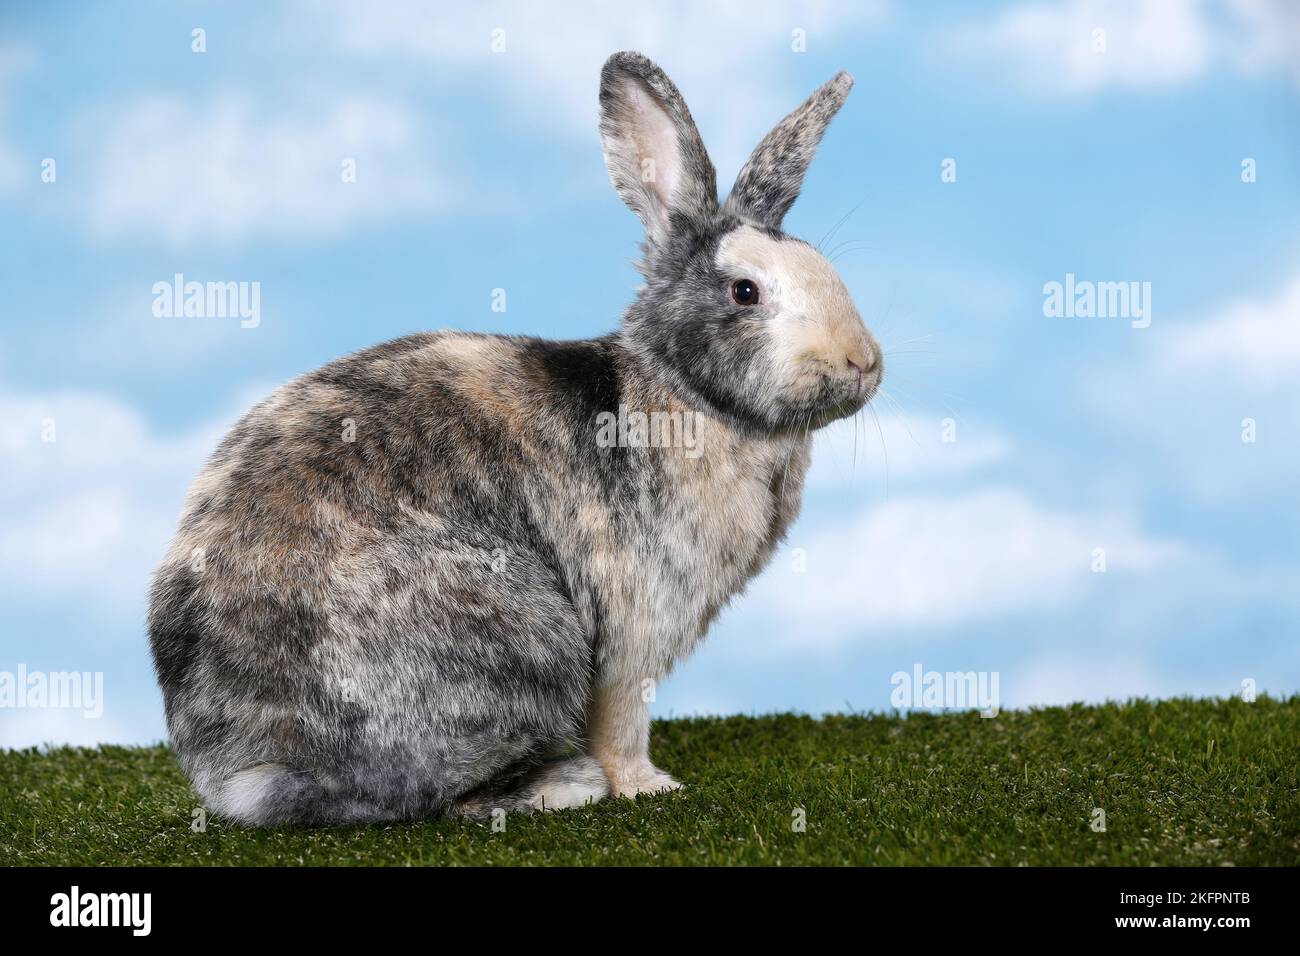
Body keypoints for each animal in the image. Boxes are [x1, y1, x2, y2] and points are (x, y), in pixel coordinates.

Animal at [148, 51, 882, 826]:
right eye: (745, 292)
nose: (864, 362)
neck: (683, 394)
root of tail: (239, 770)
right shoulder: (632, 635)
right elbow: (621, 721)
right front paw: (649, 787)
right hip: (524, 639)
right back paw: (562, 786)